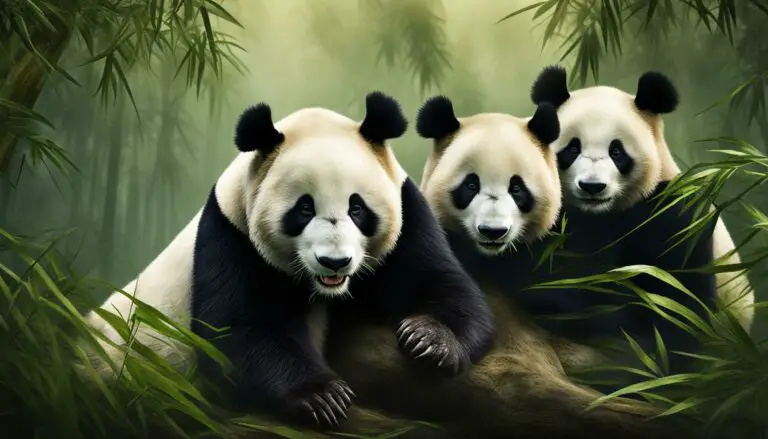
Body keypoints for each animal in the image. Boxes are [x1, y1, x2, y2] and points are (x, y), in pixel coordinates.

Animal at [81, 91, 496, 430]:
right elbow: (240, 327)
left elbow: (443, 282)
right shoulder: (232, 232)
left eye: (357, 208)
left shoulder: (406, 215)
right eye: (304, 208)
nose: (335, 262)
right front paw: (323, 397)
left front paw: (430, 341)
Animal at [526, 65, 755, 376]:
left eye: (617, 151)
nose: (592, 186)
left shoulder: (673, 213)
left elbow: (677, 306)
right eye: (572, 149)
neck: (601, 214)